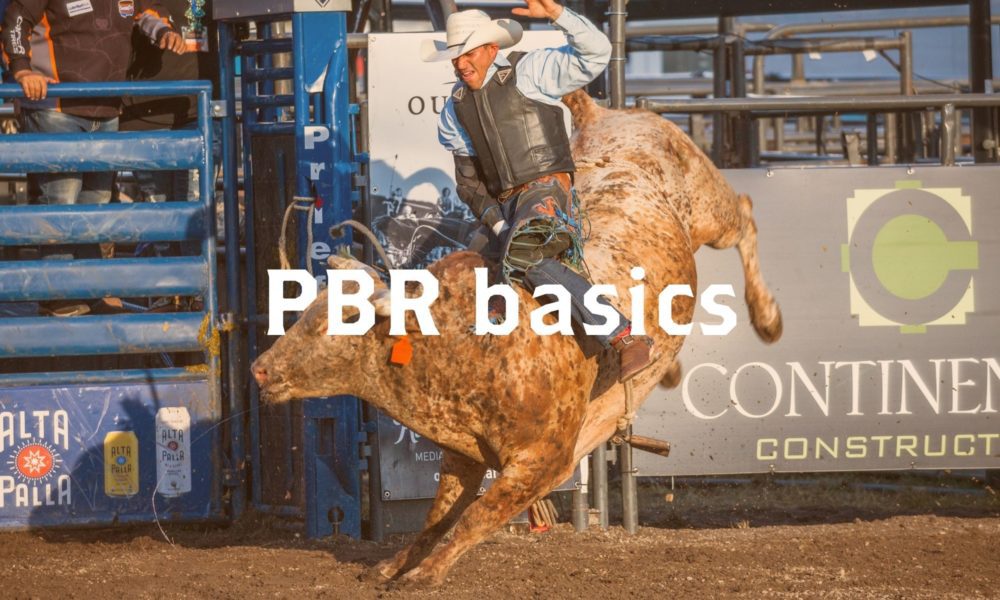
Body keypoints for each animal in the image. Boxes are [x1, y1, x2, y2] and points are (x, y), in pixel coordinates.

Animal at [251, 89, 782, 587]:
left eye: (340, 319)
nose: (260, 368)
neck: (471, 343)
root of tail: (600, 114)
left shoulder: (545, 462)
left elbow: (477, 516)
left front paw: (426, 574)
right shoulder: (462, 455)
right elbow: (437, 518)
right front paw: (394, 565)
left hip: (707, 205)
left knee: (745, 215)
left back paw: (767, 317)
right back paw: (668, 367)